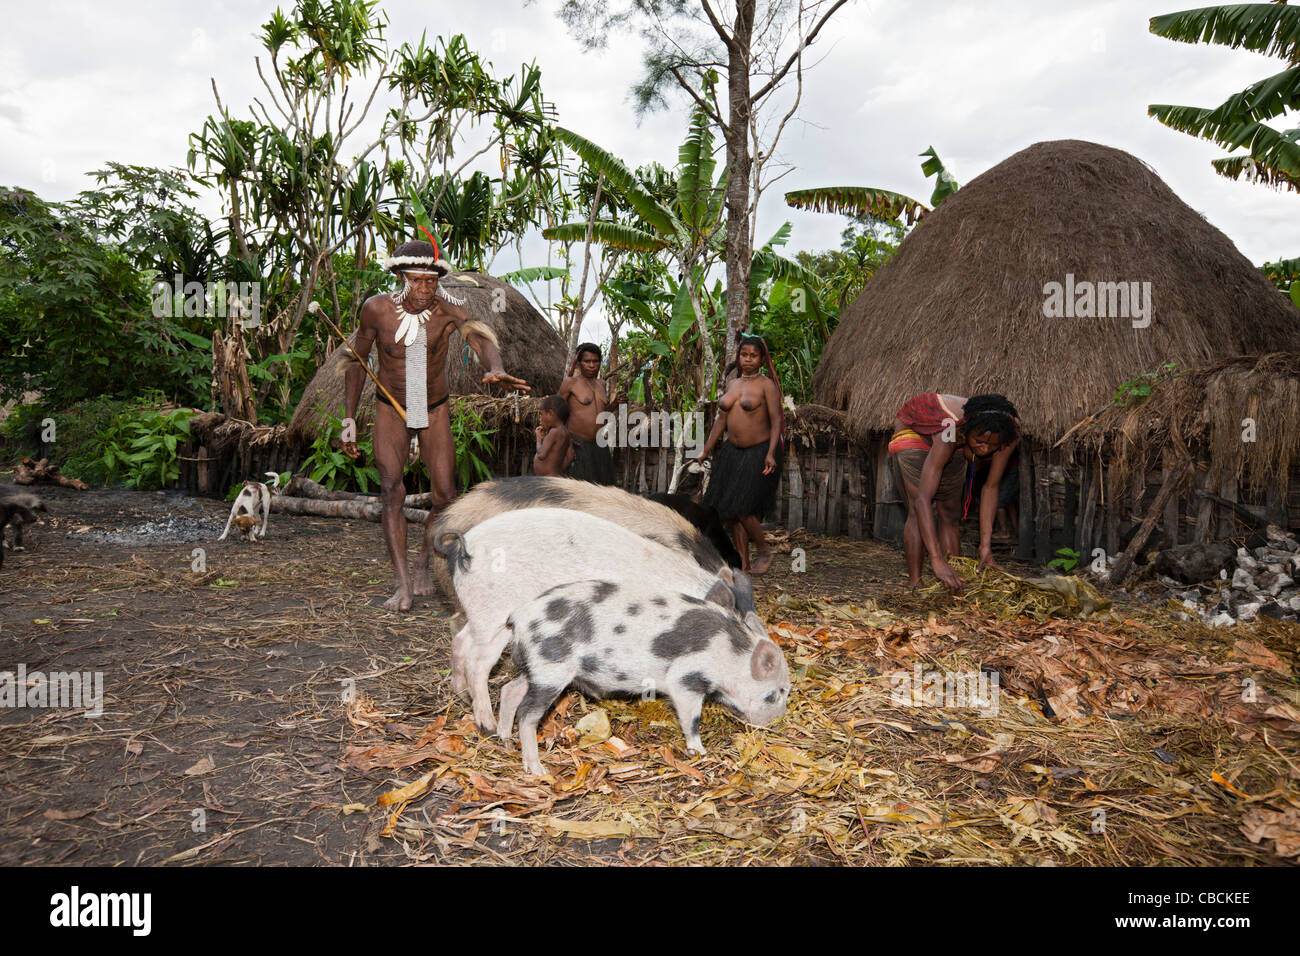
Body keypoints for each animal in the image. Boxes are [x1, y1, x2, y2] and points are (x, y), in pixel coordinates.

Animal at [433, 507, 765, 735]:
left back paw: (460, 695)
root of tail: (464, 547)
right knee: (478, 661)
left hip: (480, 612)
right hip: (494, 614)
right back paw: (486, 725)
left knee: (461, 641)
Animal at [494, 577, 791, 777]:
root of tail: (519, 616)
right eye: (776, 693)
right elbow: (692, 720)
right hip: (551, 668)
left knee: (510, 689)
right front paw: (700, 753)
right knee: (527, 713)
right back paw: (537, 770)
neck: (728, 655)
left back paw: (504, 742)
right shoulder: (685, 680)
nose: (776, 722)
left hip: (537, 667)